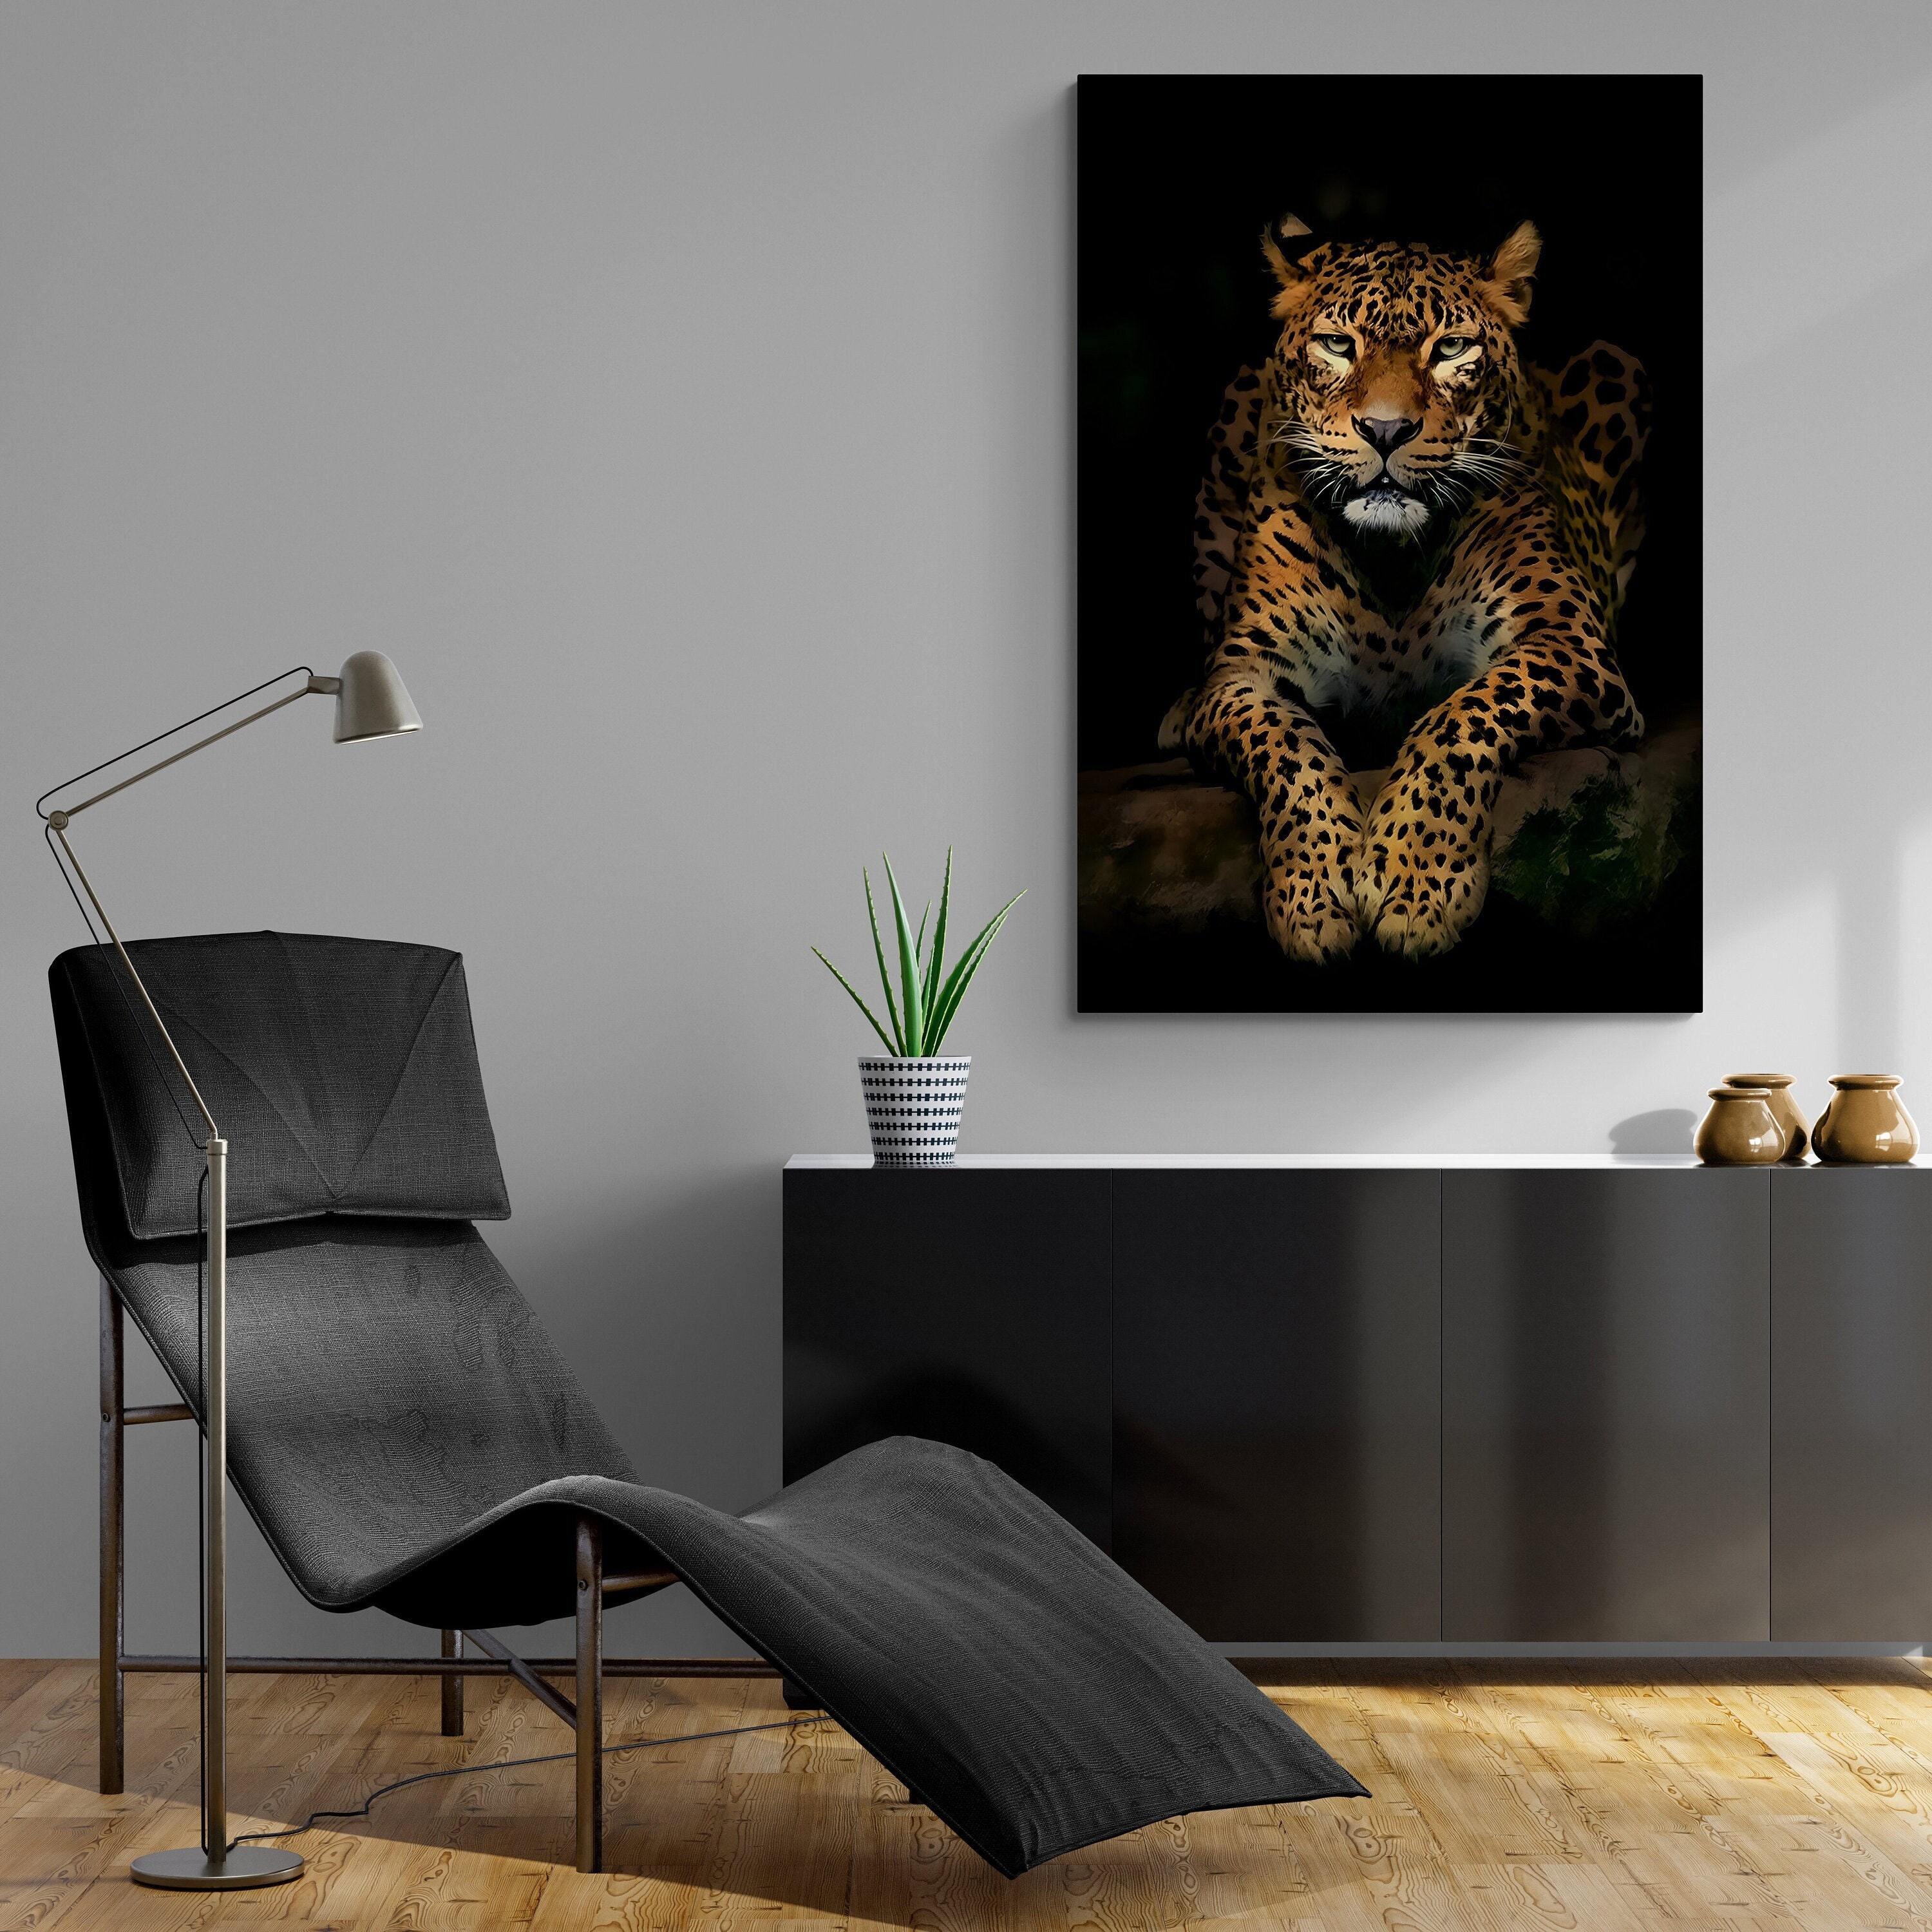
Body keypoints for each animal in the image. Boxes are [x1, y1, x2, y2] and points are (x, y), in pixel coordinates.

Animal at [1158, 215, 1650, 962]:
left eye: (1451, 349)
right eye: (1338, 345)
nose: (1385, 430)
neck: (1390, 559)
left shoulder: (1570, 642)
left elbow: (1462, 717)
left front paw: (1418, 886)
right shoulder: (1244, 674)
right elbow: (1286, 748)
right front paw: (1314, 895)